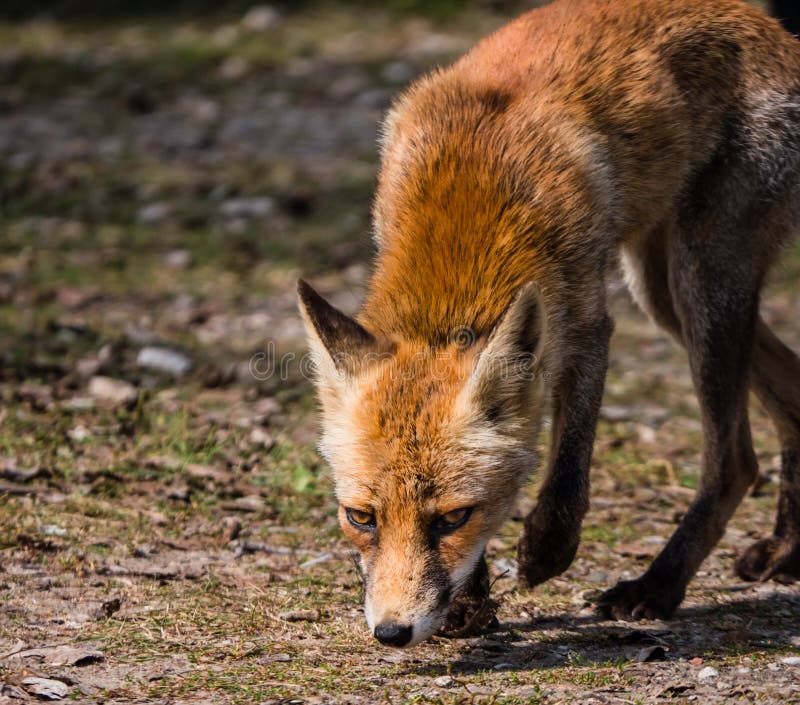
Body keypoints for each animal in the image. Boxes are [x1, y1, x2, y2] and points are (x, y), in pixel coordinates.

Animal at [297, 0, 800, 648]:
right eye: (361, 517)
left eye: (452, 517)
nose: (392, 631)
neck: (468, 207)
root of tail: (766, 23)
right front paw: (470, 601)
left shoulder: (584, 325)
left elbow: (567, 472)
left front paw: (543, 554)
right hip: (664, 292)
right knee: (792, 392)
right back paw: (787, 550)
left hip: (702, 280)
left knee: (734, 458)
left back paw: (658, 586)